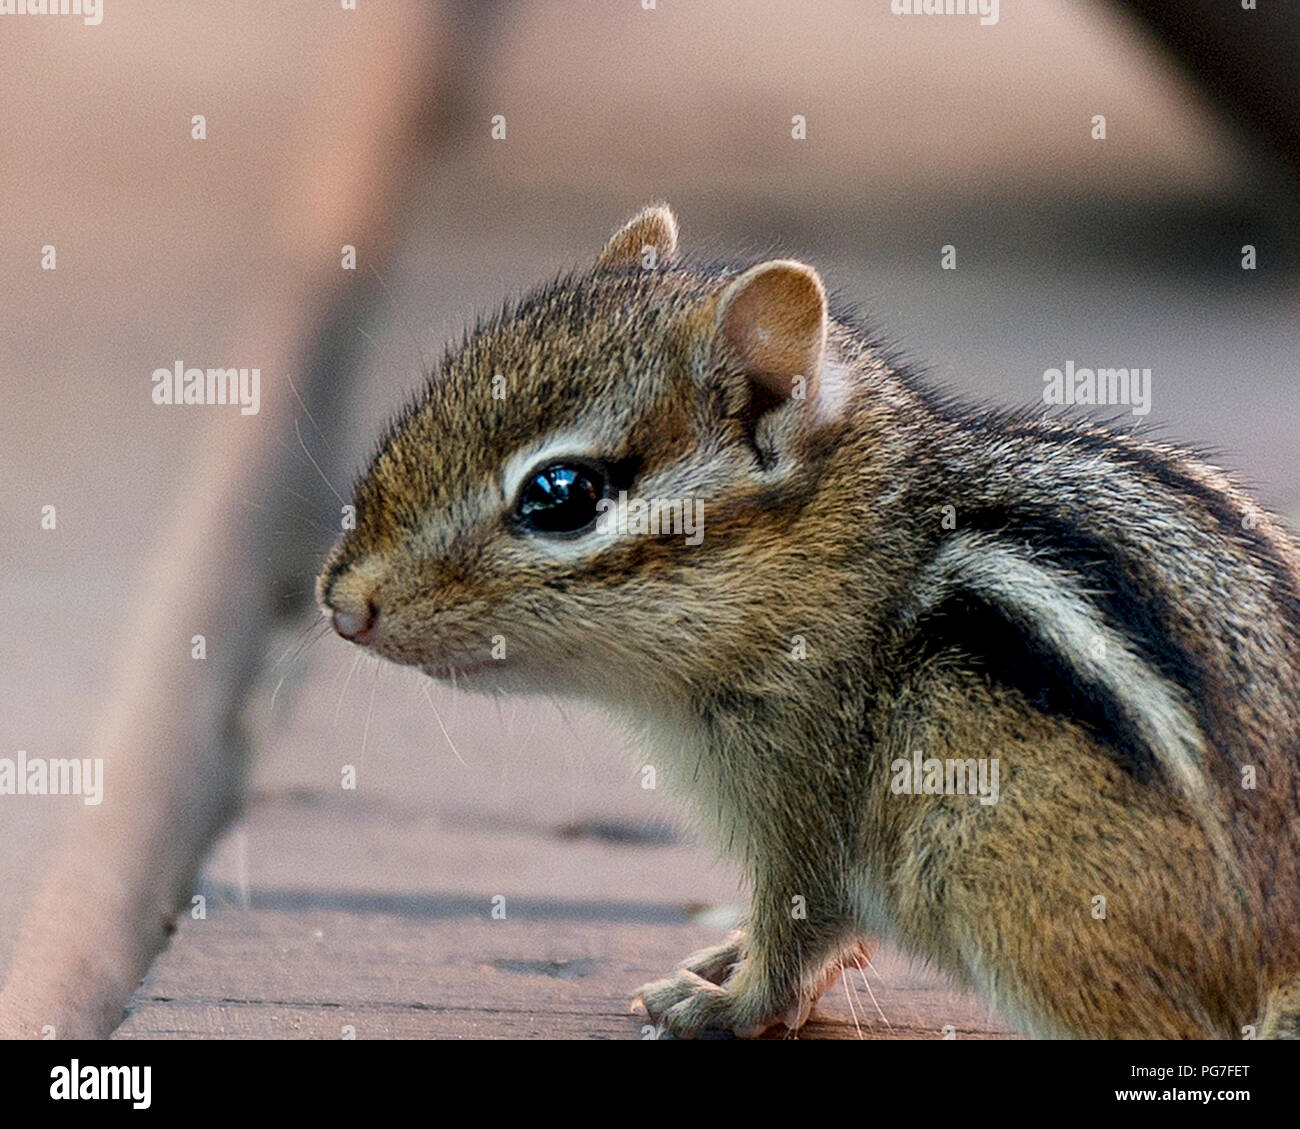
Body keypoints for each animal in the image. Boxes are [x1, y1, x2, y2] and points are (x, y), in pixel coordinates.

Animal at [318, 204, 1300, 1039]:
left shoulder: (806, 814)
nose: (342, 603)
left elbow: (800, 935)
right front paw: (726, 956)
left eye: (561, 494)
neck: (840, 565)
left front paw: (721, 1003)